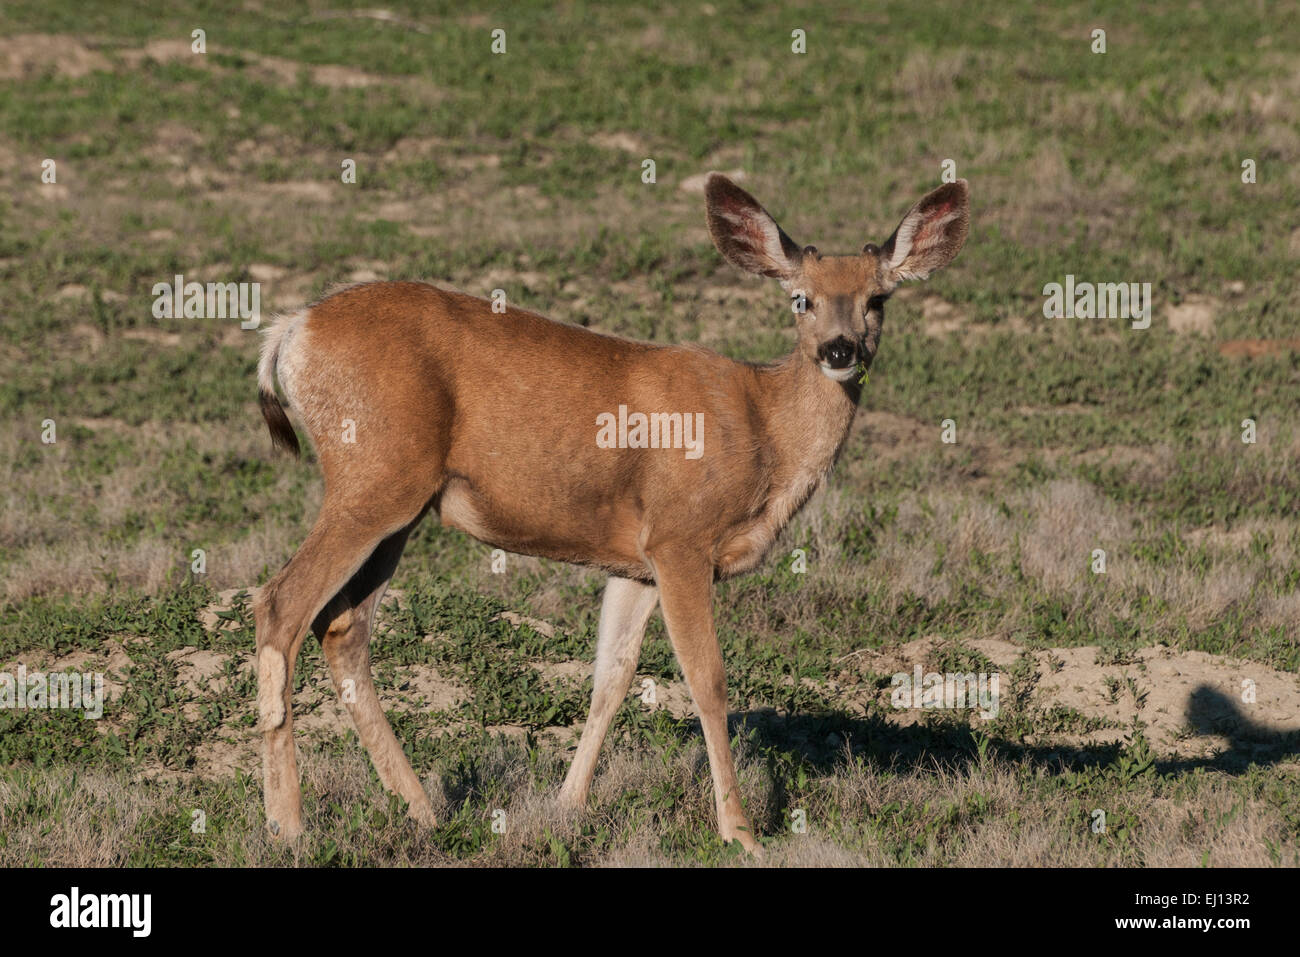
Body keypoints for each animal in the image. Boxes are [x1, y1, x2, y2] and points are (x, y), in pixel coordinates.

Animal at [253, 172, 970, 853]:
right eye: (802, 298)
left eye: (877, 299)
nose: (840, 350)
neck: (764, 431)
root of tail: (290, 332)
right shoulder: (681, 536)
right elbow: (707, 679)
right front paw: (740, 831)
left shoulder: (635, 562)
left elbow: (612, 677)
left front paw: (568, 804)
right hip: (373, 479)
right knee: (282, 604)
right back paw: (290, 825)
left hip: (399, 507)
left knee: (343, 627)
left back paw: (423, 810)